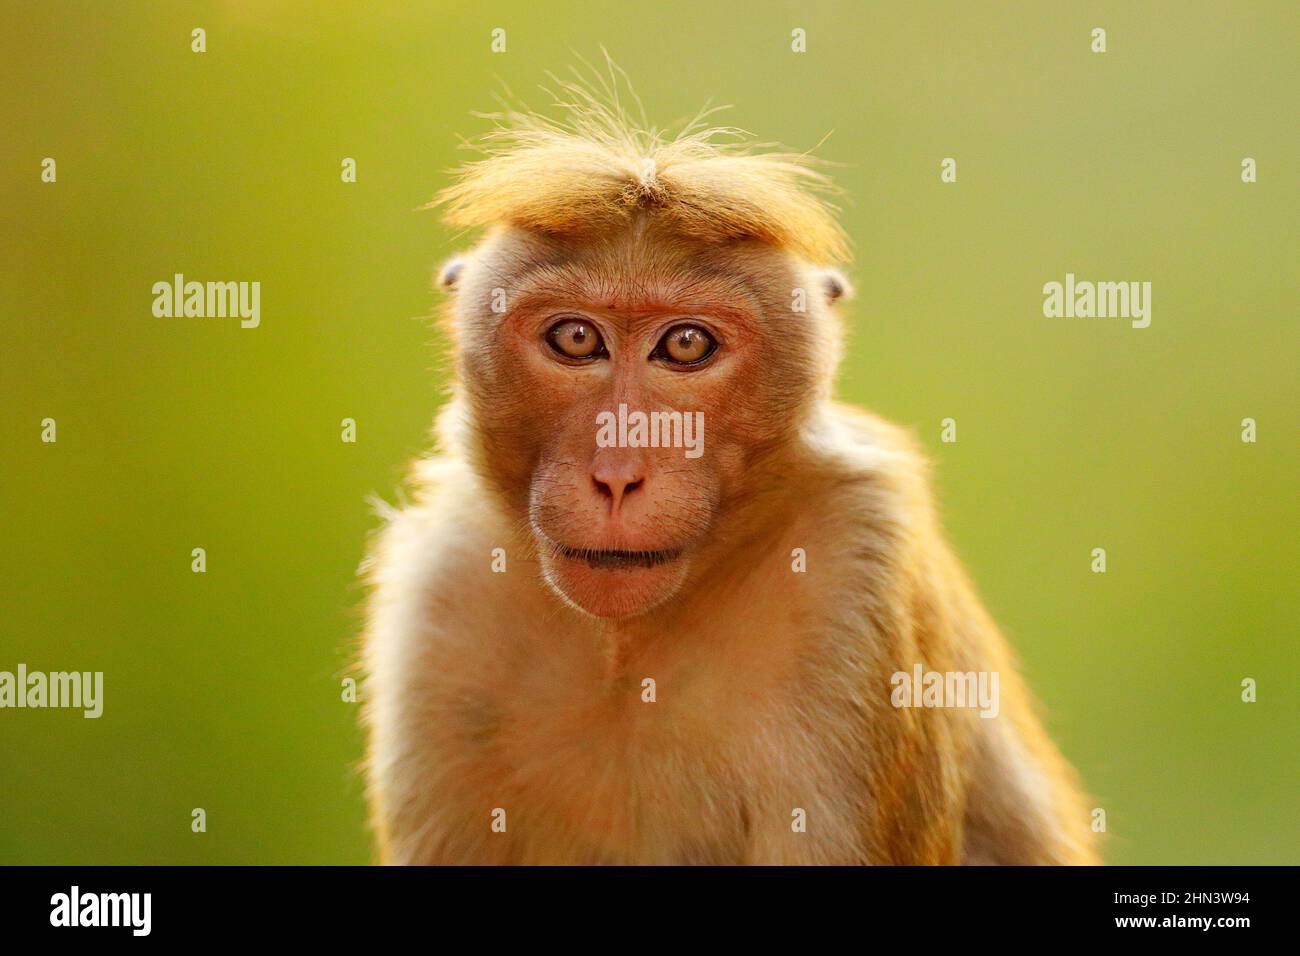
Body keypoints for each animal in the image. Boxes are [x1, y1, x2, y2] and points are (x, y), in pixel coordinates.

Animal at [360, 78, 1099, 866]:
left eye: (686, 345)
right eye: (577, 338)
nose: (617, 473)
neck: (629, 644)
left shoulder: (855, 572)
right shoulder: (442, 594)